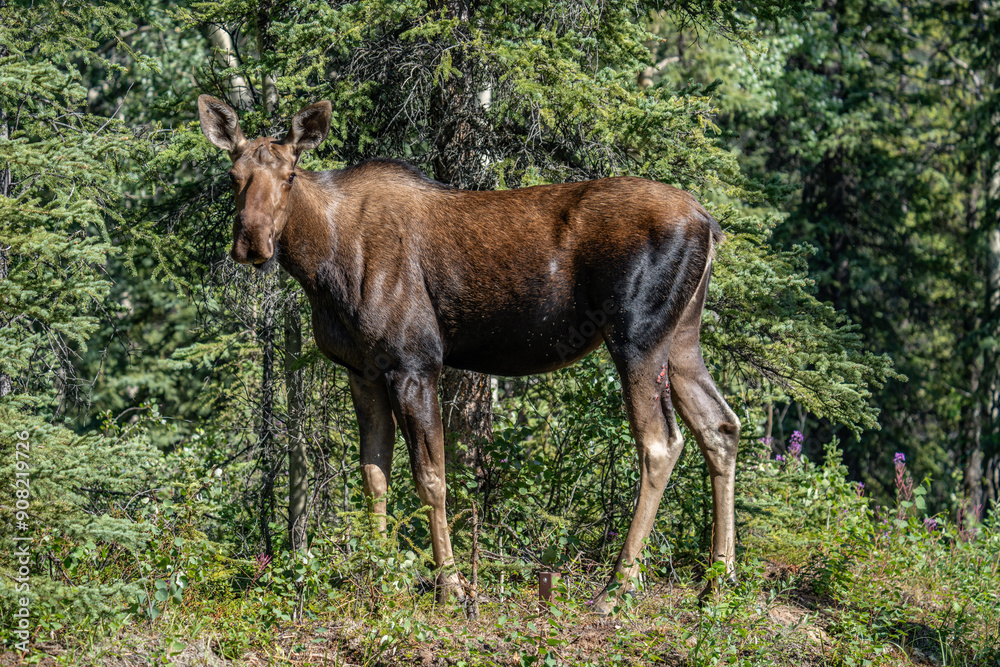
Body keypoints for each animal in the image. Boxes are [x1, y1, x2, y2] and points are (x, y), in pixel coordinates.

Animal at [198, 95, 741, 615]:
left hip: (637, 335)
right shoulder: (363, 370)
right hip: (682, 337)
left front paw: (451, 588)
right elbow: (374, 475)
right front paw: (380, 581)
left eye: (289, 175)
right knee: (720, 425)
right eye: (232, 177)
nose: (251, 242)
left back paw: (618, 587)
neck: (321, 268)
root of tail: (709, 223)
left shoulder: (415, 363)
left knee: (660, 443)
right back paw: (719, 584)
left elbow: (432, 478)